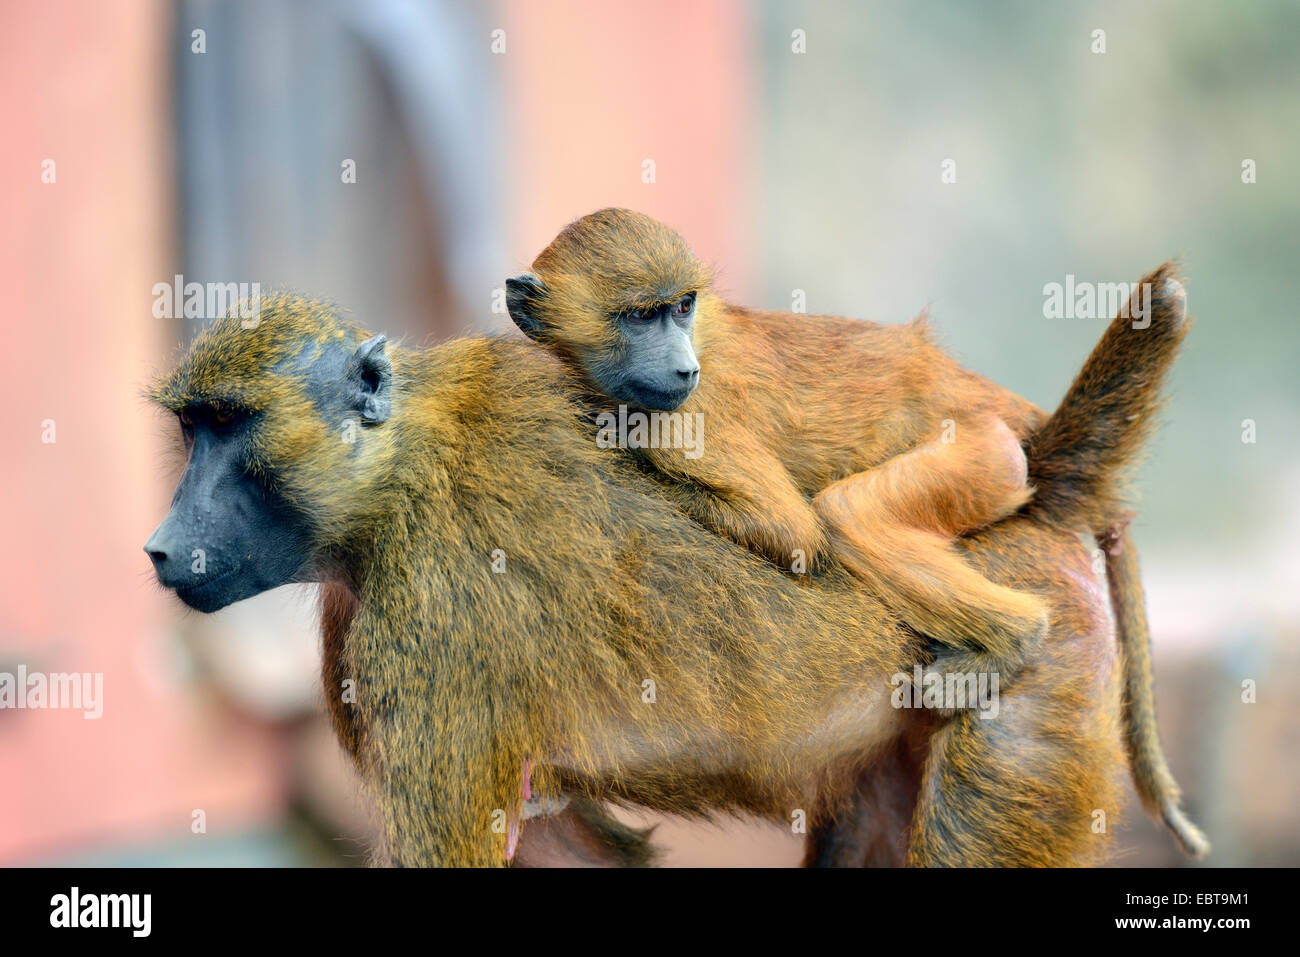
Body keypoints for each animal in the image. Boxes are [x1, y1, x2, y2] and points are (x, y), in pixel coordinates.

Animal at [143, 265, 1203, 866]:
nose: (160, 542)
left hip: (1040, 663)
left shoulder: (429, 626)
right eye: (194, 429)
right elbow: (558, 841)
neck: (394, 471)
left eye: (232, 426)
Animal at [506, 209, 1052, 686]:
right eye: (641, 316)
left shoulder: (686, 417)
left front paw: (614, 441)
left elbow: (791, 532)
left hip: (982, 454)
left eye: (682, 308)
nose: (685, 369)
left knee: (846, 513)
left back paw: (1015, 641)